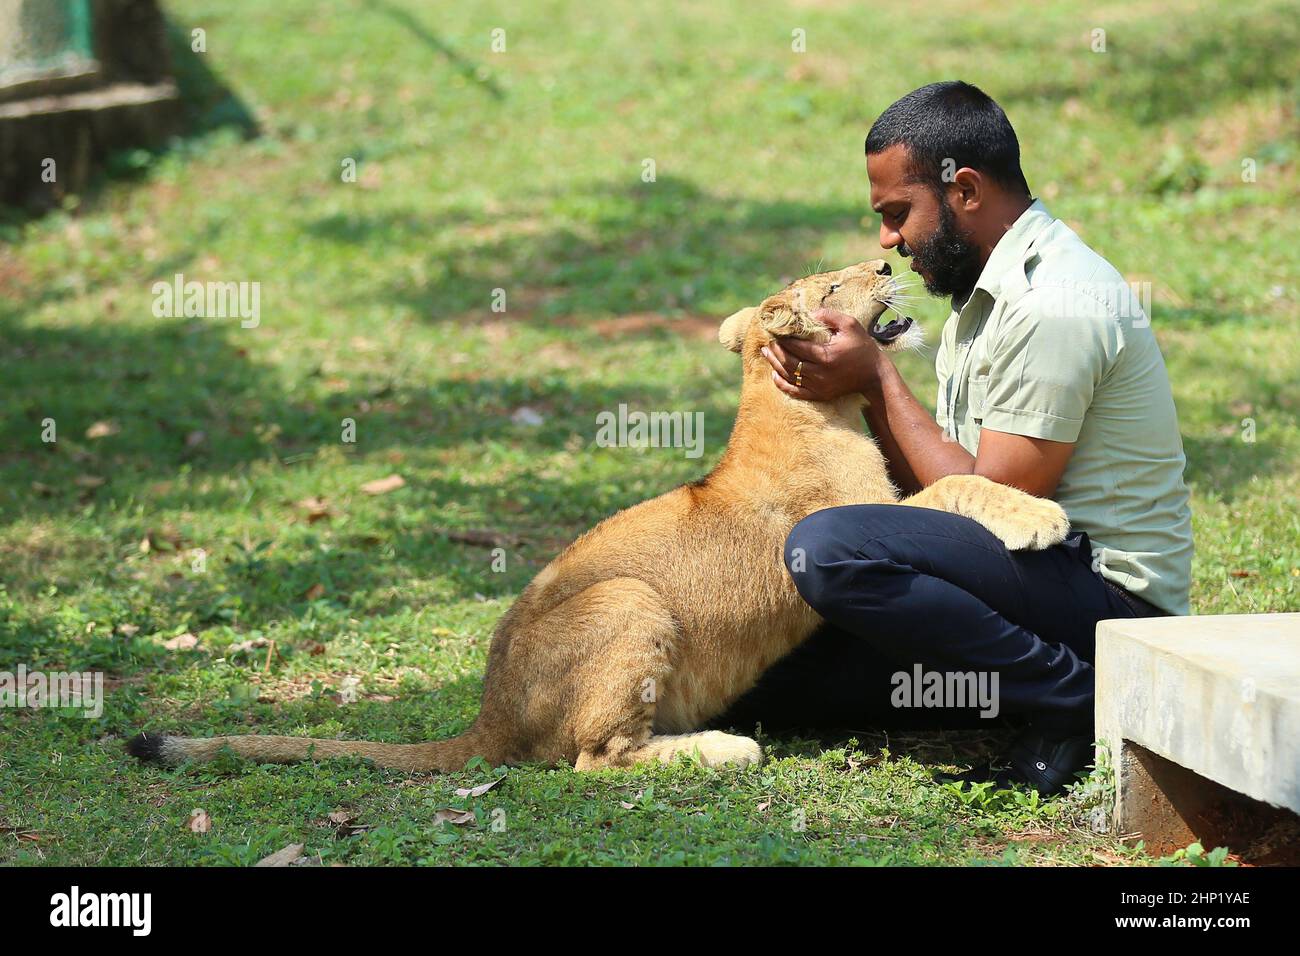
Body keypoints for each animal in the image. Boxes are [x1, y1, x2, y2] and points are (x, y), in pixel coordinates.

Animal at [128, 260, 1068, 773]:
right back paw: (724, 749)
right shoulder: (851, 511)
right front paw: (1042, 517)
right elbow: (955, 492)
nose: (881, 262)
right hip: (627, 601)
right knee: (593, 759)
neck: (800, 403)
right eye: (836, 283)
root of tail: (489, 714)